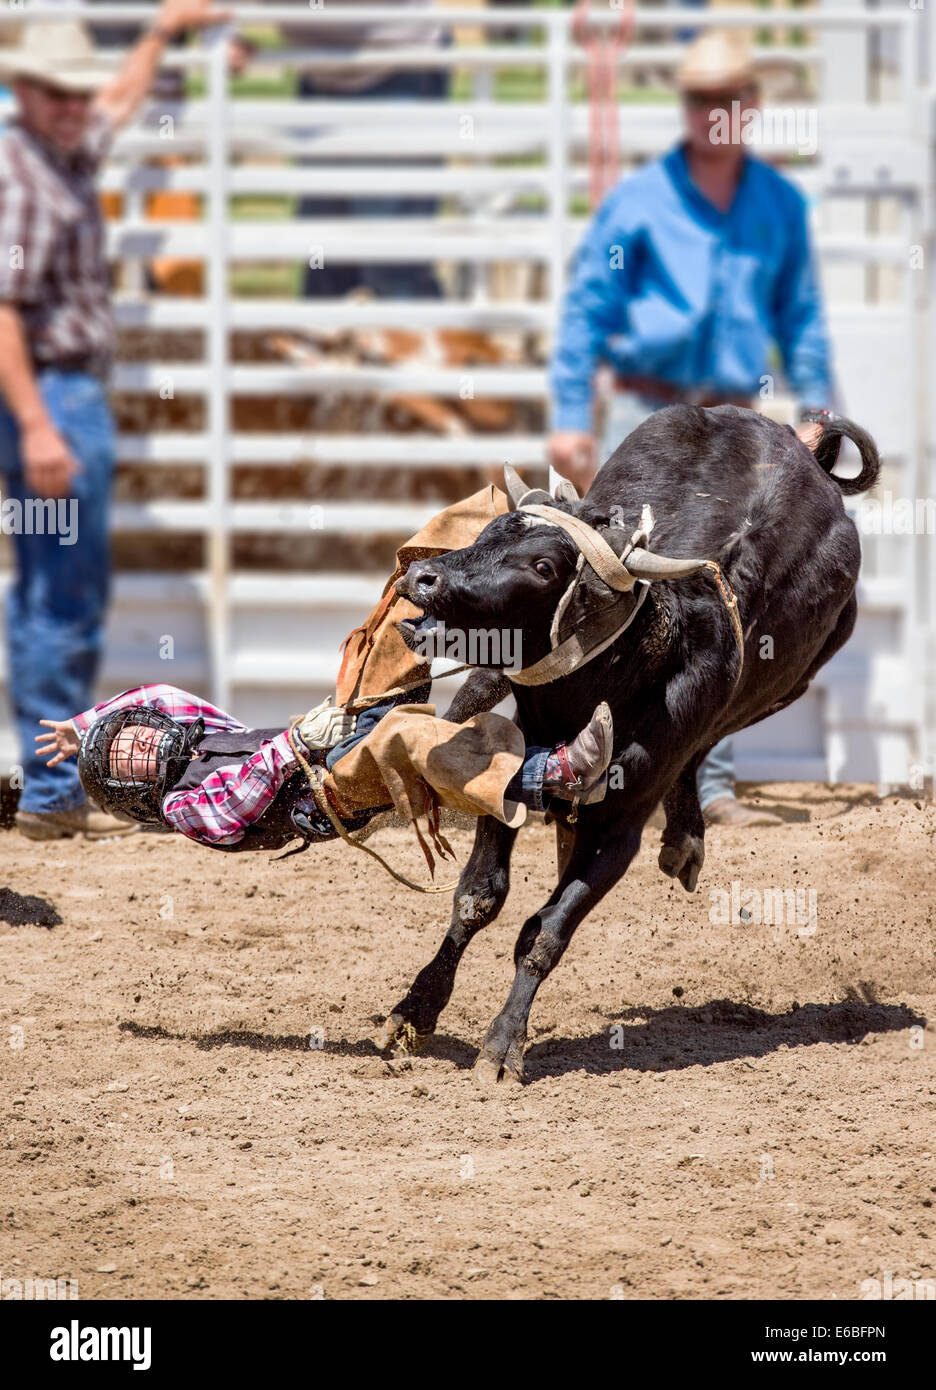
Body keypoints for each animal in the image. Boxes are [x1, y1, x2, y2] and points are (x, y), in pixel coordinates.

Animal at [376, 404, 880, 1085]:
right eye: (491, 531)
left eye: (543, 567)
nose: (423, 576)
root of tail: (801, 447)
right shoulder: (509, 778)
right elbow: (478, 900)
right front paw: (414, 1011)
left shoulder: (618, 833)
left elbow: (544, 933)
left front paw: (504, 1044)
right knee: (480, 689)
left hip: (788, 687)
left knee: (703, 746)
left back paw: (685, 838)